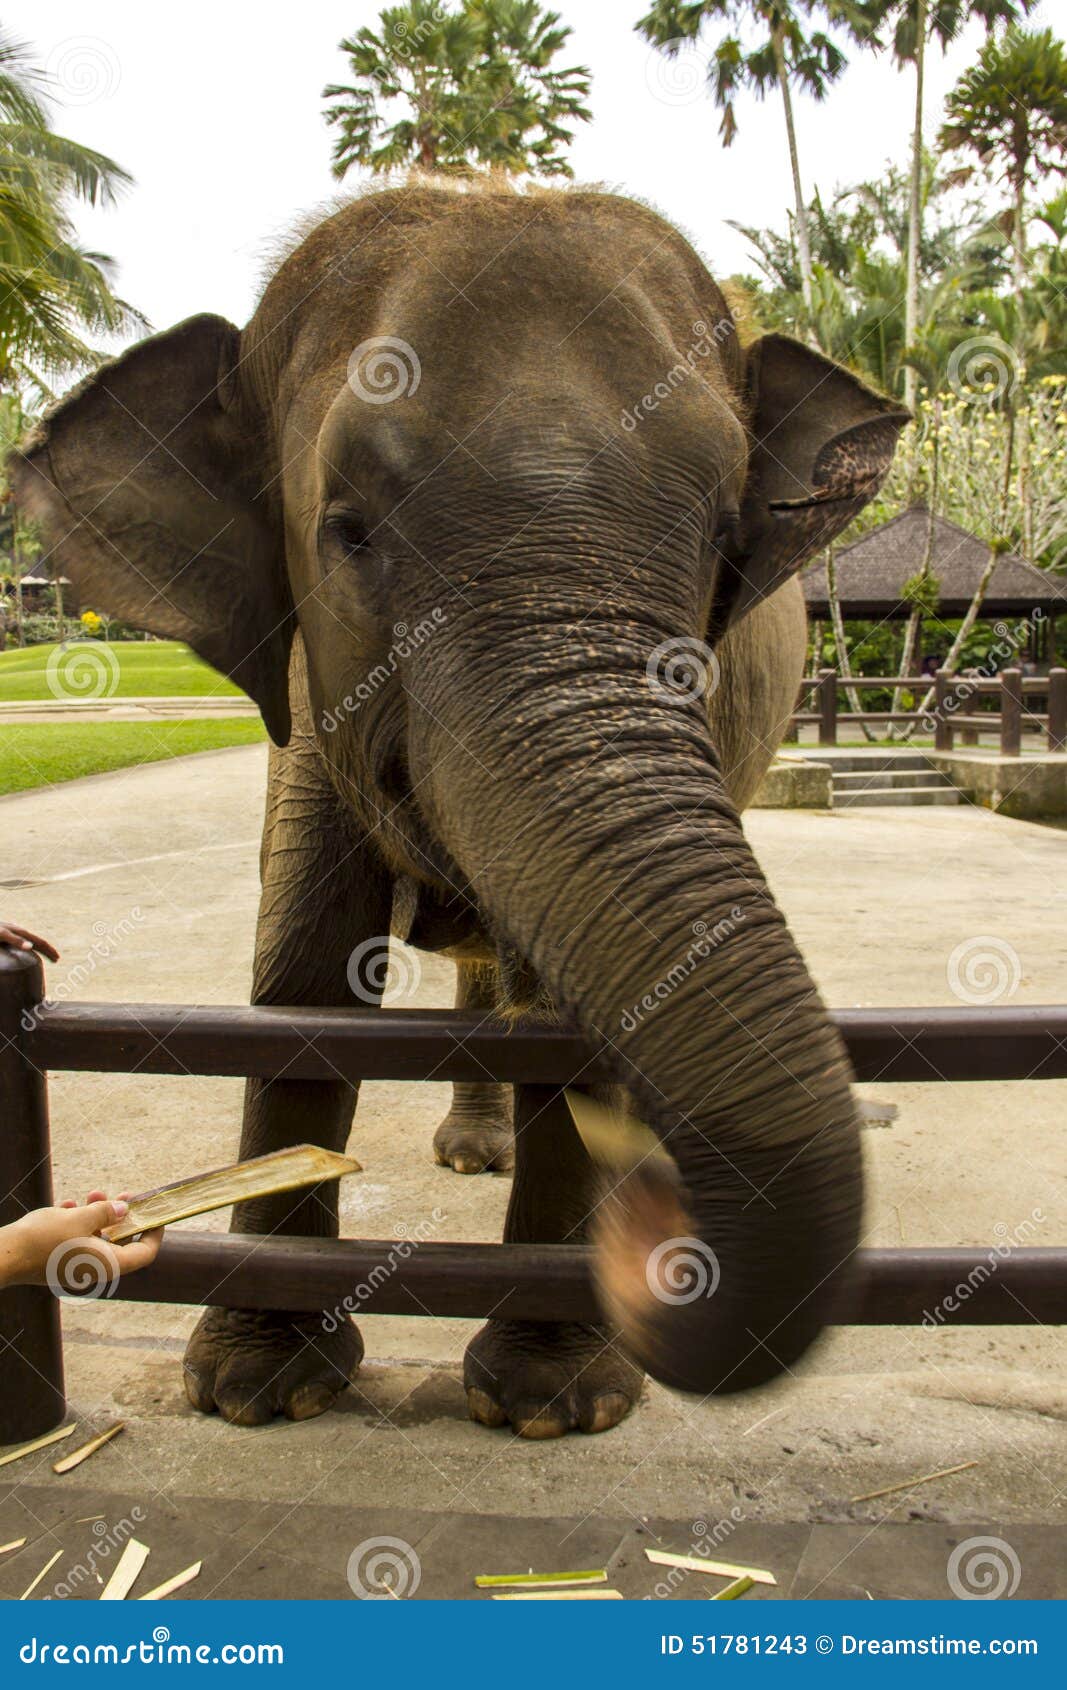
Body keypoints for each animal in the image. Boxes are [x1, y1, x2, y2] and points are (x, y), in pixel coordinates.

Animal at [12, 182, 907, 1435]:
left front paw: (550, 1405)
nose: (655, 1228)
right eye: (346, 531)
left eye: (724, 538)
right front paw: (253, 1390)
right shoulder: (309, 701)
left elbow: (570, 1016)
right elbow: (300, 975)